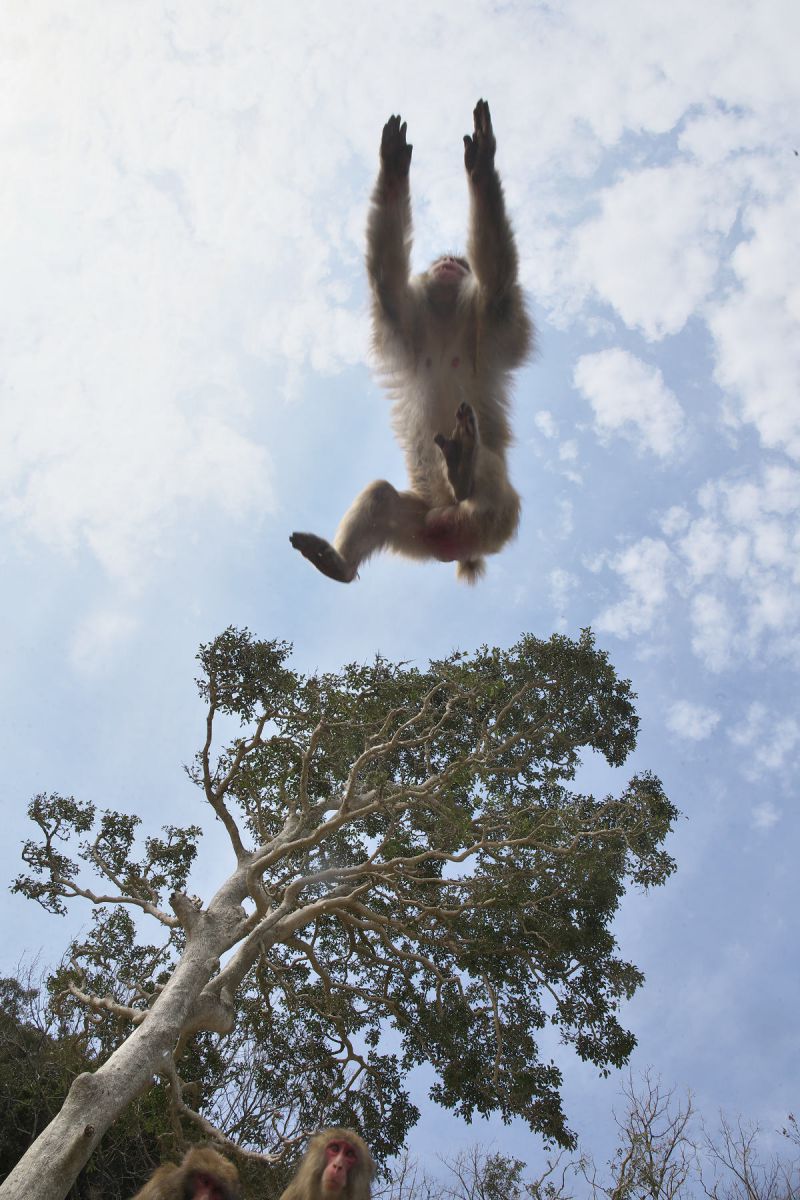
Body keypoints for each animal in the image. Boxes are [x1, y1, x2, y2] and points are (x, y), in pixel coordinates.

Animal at [290, 99, 533, 585]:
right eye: (446, 262)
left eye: (459, 263)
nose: (448, 265)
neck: (443, 324)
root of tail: (458, 547)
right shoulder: (406, 322)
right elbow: (386, 278)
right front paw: (393, 170)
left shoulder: (493, 318)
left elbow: (498, 279)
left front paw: (482, 167)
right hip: (419, 529)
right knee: (382, 496)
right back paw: (339, 563)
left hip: (487, 522)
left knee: (492, 472)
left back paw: (463, 469)